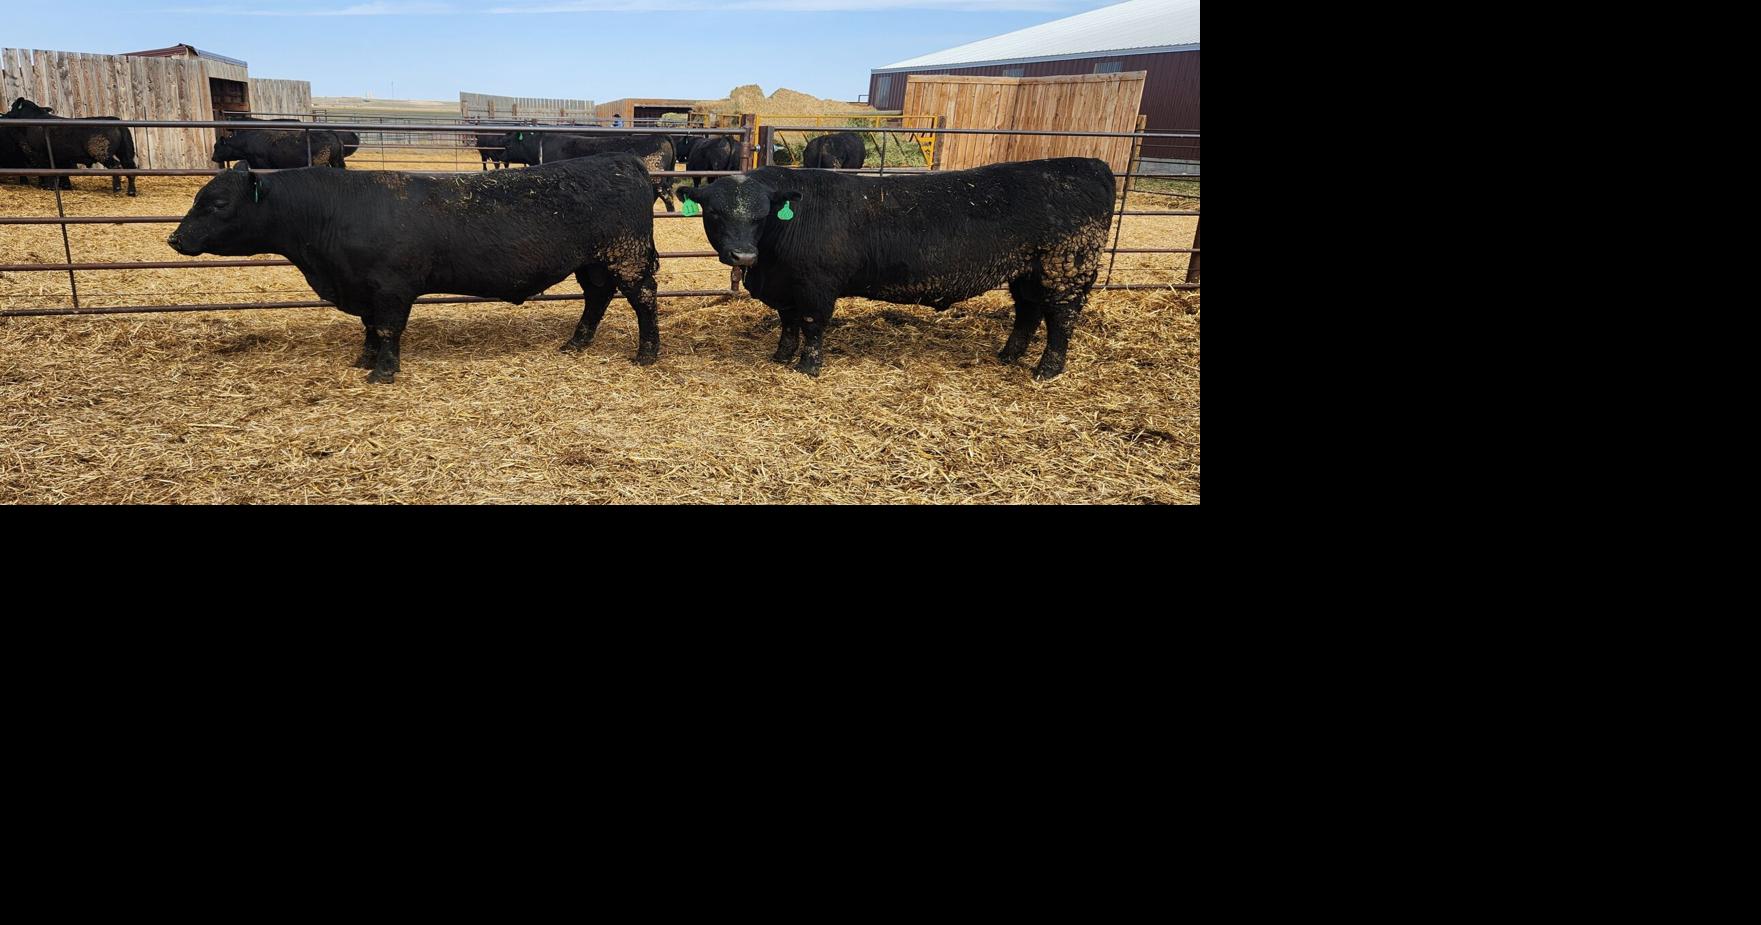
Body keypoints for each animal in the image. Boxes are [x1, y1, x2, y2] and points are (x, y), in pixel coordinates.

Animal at [5, 98, 139, 195]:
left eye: (12, 107)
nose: (5, 114)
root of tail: (116, 121)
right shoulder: (60, 157)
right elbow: (62, 172)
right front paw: (64, 186)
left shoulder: (40, 154)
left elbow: (47, 170)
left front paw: (48, 187)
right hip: (125, 152)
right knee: (130, 167)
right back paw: (131, 191)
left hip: (102, 152)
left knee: (116, 166)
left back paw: (117, 188)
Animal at [167, 155, 662, 384]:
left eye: (217, 203)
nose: (175, 238)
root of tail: (622, 161)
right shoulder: (364, 288)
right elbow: (369, 328)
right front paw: (363, 359)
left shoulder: (391, 288)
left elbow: (388, 328)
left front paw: (383, 371)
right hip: (594, 262)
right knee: (597, 296)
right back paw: (575, 344)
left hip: (628, 257)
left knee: (643, 301)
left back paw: (647, 354)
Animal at [676, 158, 1115, 380]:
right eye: (714, 213)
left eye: (762, 214)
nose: (742, 257)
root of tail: (1090, 164)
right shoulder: (787, 287)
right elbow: (788, 323)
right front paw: (782, 356)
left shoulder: (817, 286)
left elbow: (812, 325)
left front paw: (808, 366)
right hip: (1028, 271)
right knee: (1027, 311)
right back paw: (1009, 355)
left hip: (1065, 267)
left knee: (1061, 318)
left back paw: (1047, 368)